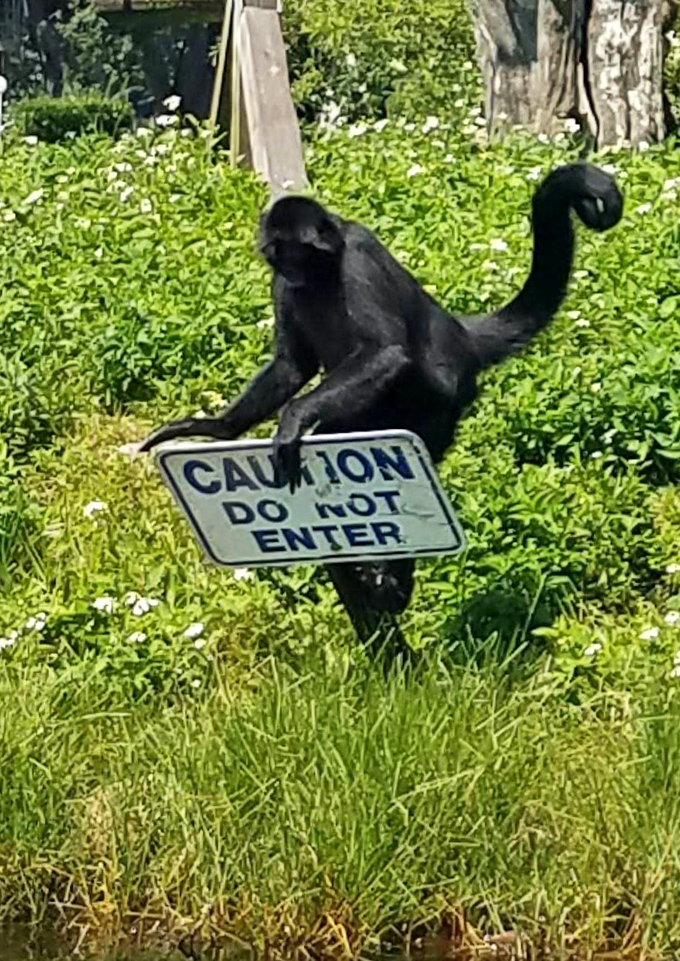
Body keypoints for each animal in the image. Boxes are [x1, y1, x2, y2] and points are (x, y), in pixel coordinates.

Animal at [139, 163, 623, 650]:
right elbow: (292, 366)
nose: (285, 264)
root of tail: (461, 338)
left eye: (293, 252)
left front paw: (292, 419)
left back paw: (394, 576)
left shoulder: (357, 257)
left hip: (434, 406)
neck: (321, 272)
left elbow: (387, 353)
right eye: (278, 255)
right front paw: (214, 427)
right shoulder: (283, 286)